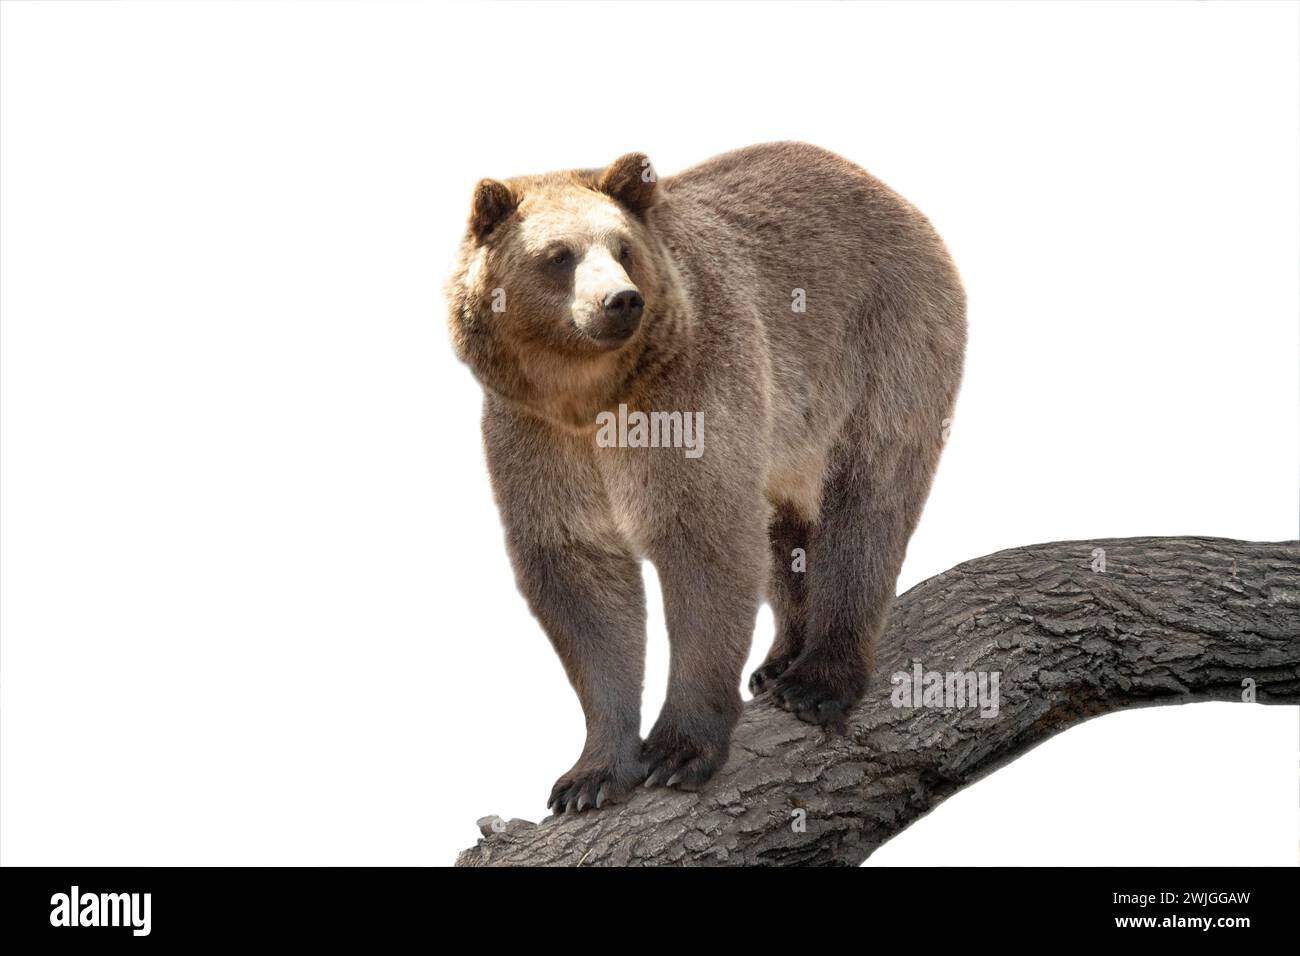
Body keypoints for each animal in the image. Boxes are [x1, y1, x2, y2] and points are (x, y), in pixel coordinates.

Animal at [445, 142, 966, 813]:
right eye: (558, 255)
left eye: (623, 248)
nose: (621, 301)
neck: (591, 399)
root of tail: (893, 196)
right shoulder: (536, 440)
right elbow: (581, 582)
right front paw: (588, 776)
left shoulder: (691, 394)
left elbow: (705, 550)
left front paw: (678, 751)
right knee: (787, 528)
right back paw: (779, 660)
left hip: (883, 337)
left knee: (867, 501)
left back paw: (817, 679)